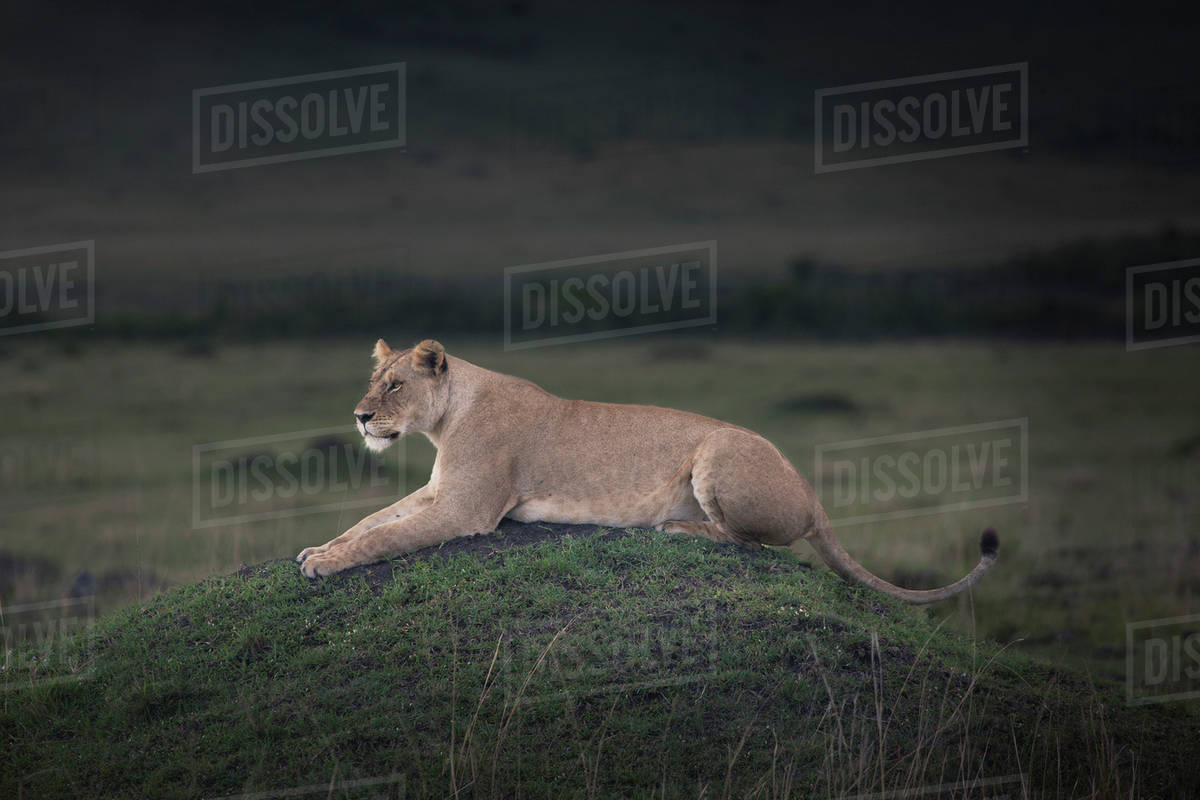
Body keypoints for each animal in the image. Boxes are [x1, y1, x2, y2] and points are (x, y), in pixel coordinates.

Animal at [296, 339, 999, 603]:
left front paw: (325, 565)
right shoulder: (439, 492)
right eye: (375, 382)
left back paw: (675, 528)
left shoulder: (467, 511)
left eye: (394, 386)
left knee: (750, 542)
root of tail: (813, 494)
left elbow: (388, 537)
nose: (360, 417)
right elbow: (373, 520)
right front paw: (316, 549)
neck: (449, 414)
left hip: (718, 451)